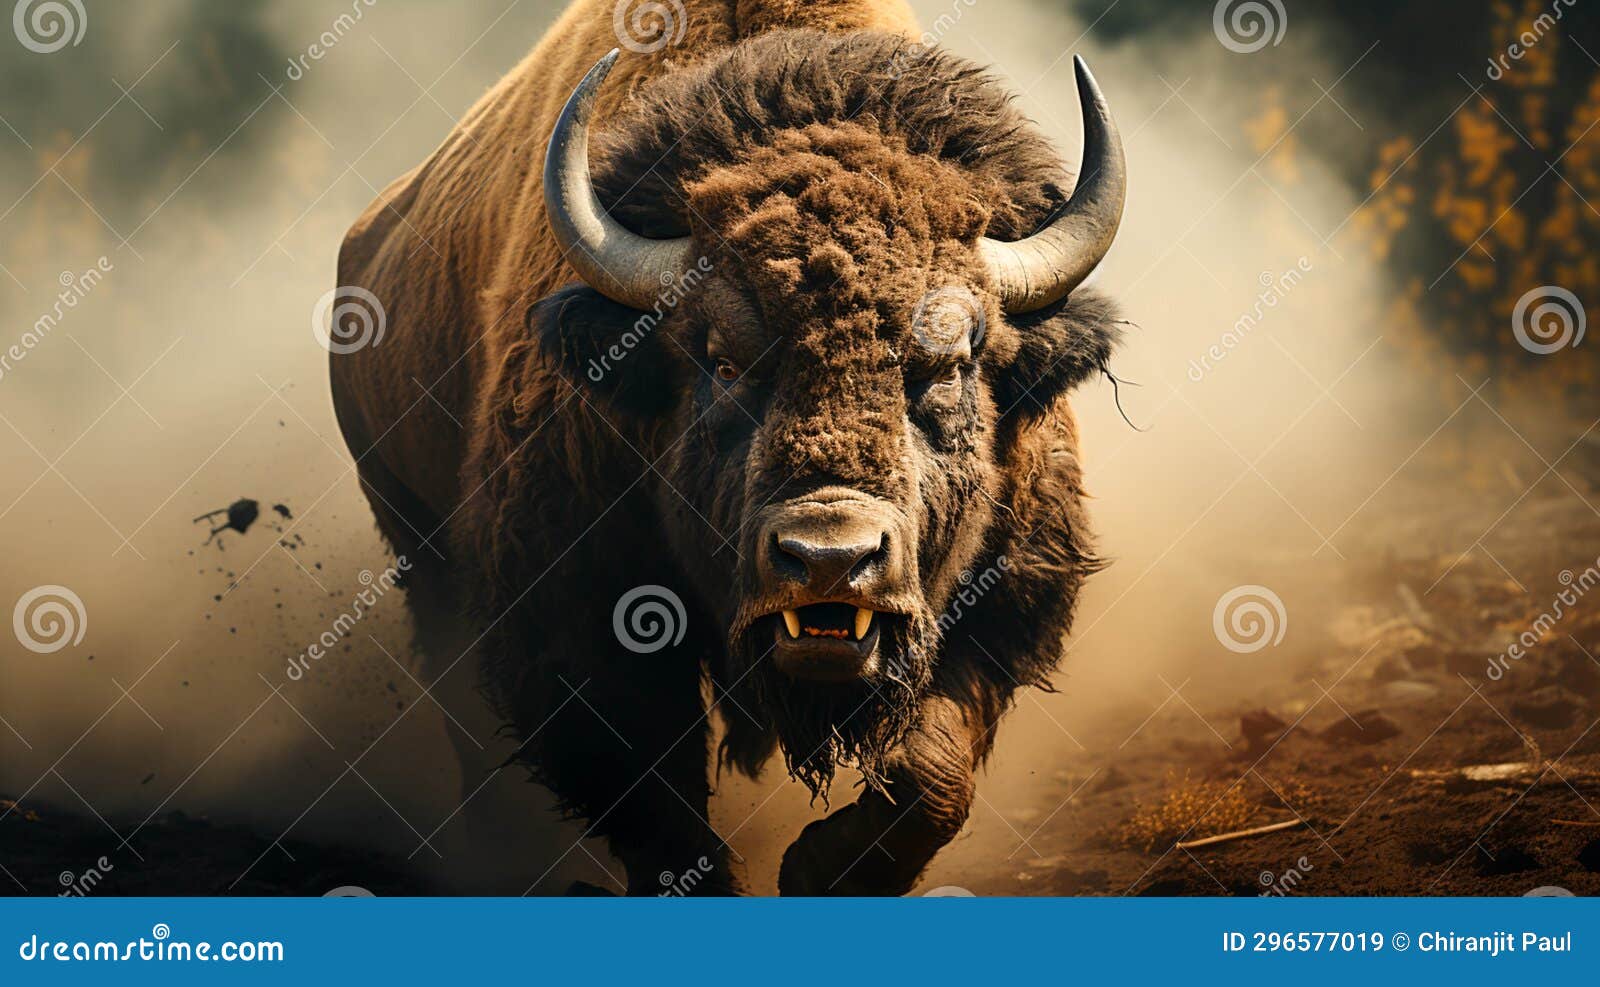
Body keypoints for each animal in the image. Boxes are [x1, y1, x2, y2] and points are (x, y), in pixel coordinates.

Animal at [330, 0, 1125, 895]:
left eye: (950, 364)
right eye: (721, 361)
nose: (829, 558)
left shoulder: (1007, 599)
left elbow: (933, 772)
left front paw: (819, 867)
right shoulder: (579, 630)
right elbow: (661, 816)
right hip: (420, 557)